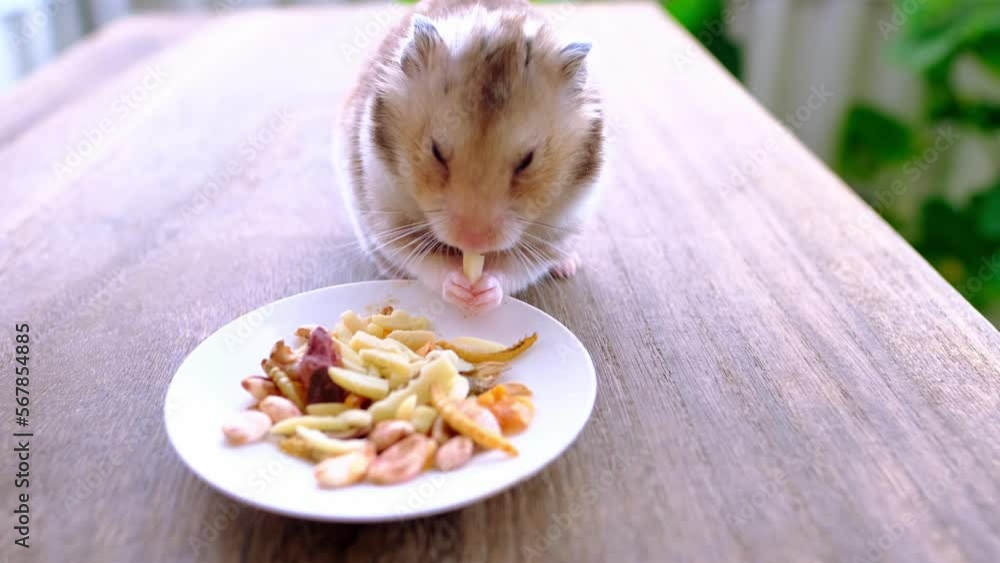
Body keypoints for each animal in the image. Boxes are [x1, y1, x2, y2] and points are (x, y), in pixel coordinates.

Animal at [334, 0, 604, 314]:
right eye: (436, 152)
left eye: (527, 161)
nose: (472, 240)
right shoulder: (385, 216)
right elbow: (421, 259)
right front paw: (460, 287)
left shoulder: (556, 232)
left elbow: (517, 268)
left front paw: (483, 291)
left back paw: (566, 267)